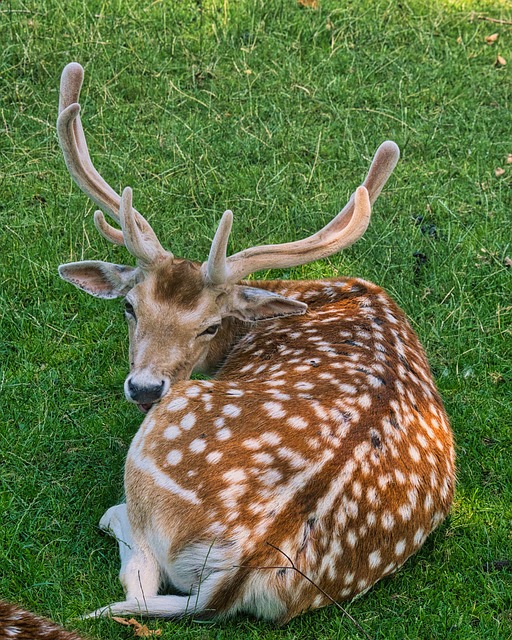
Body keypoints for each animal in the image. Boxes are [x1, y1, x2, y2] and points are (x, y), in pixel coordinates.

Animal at [57, 62, 455, 624]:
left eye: (210, 325)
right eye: (129, 307)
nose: (144, 388)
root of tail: (234, 570)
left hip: (168, 428)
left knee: (138, 574)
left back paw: (114, 517)